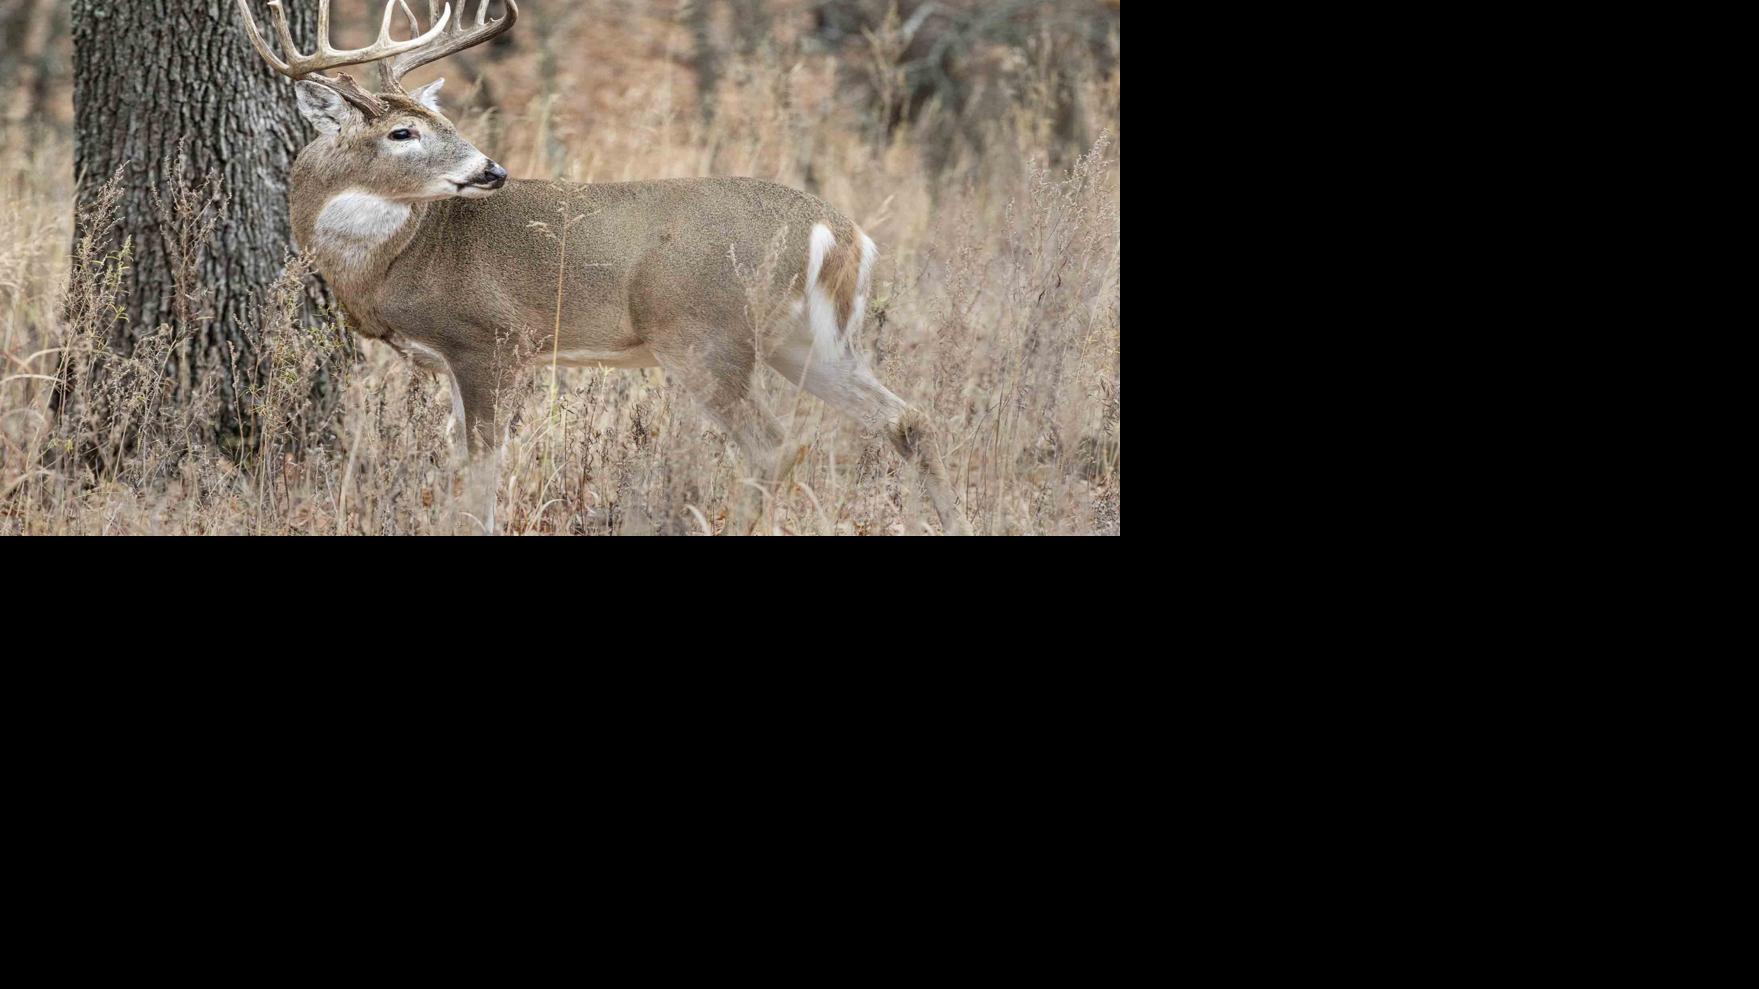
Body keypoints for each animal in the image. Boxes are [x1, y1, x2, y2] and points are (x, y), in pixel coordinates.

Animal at [233, 0, 970, 534]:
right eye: (402, 131)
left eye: (438, 120)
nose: (491, 170)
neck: (397, 258)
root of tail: (838, 230)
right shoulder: (454, 361)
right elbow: (459, 465)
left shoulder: (492, 340)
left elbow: (483, 473)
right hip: (806, 338)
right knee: (906, 419)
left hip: (703, 334)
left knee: (776, 446)